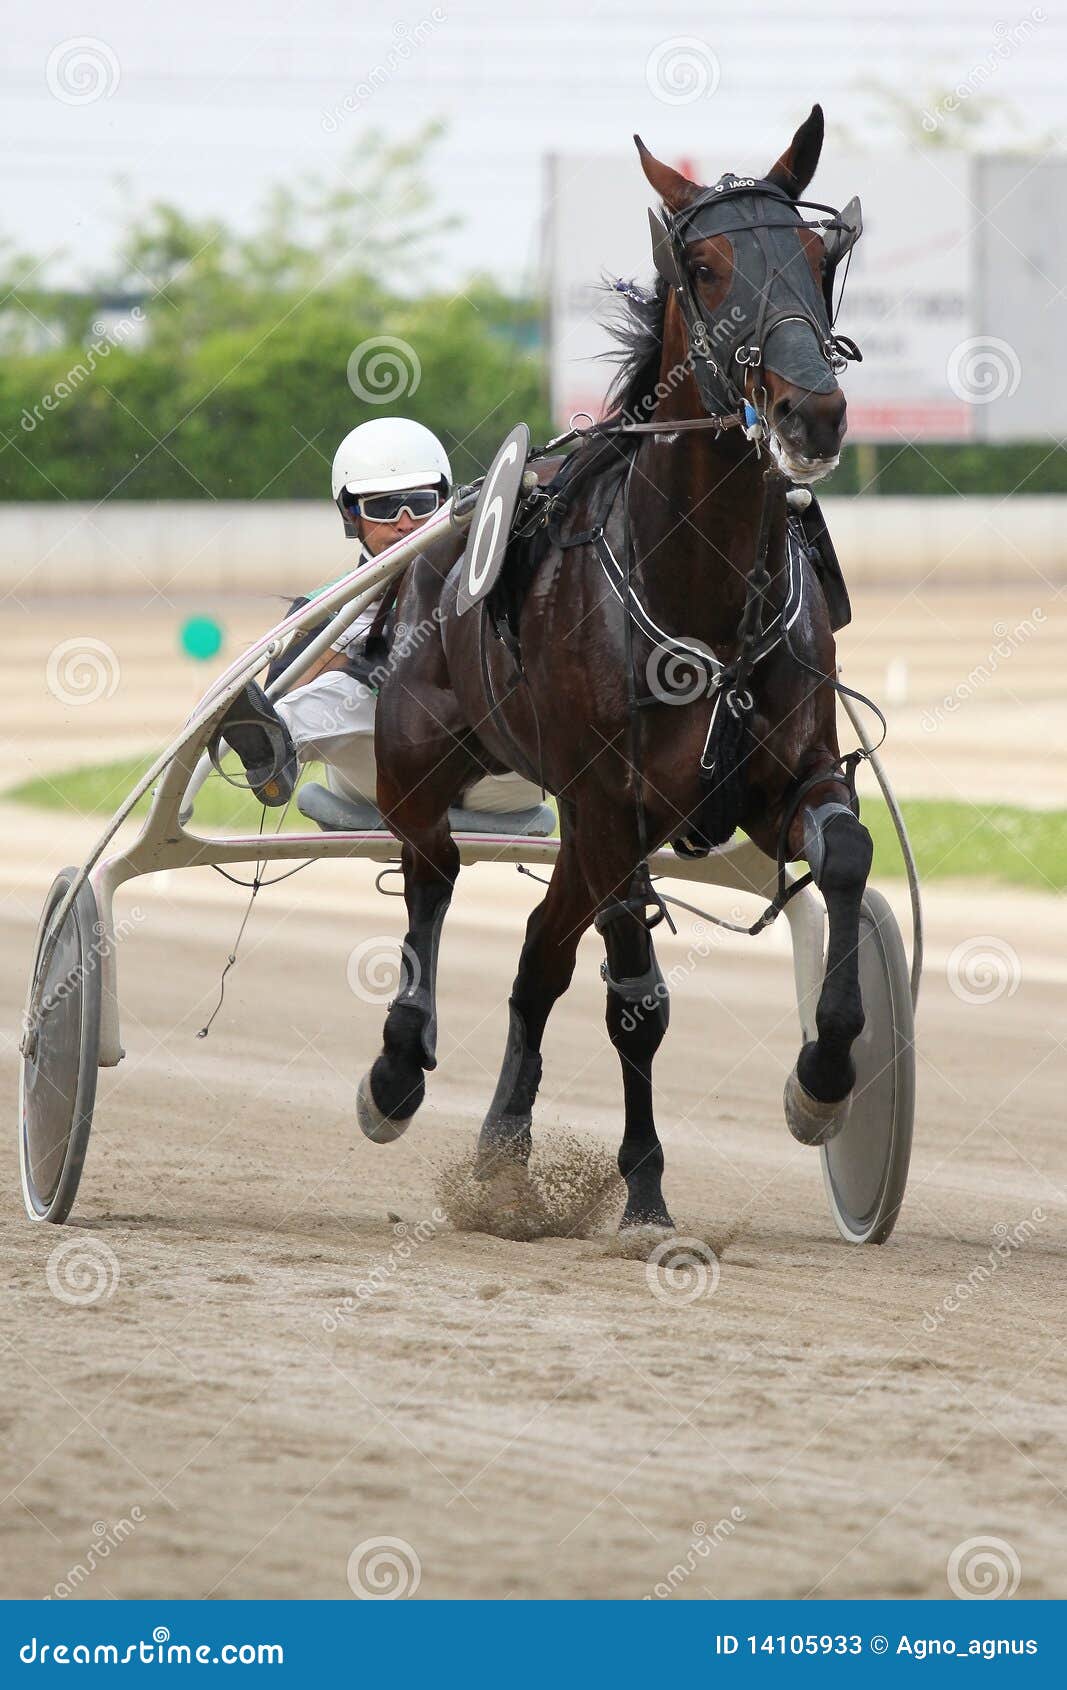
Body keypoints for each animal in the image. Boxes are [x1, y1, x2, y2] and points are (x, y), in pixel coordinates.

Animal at [356, 105, 874, 1232]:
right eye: (708, 268)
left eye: (818, 256)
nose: (812, 412)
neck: (700, 597)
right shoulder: (610, 805)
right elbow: (635, 998)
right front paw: (642, 1188)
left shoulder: (784, 777)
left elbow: (846, 857)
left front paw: (820, 1082)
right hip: (424, 764)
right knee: (433, 871)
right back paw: (398, 1069)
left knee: (535, 956)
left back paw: (502, 1148)